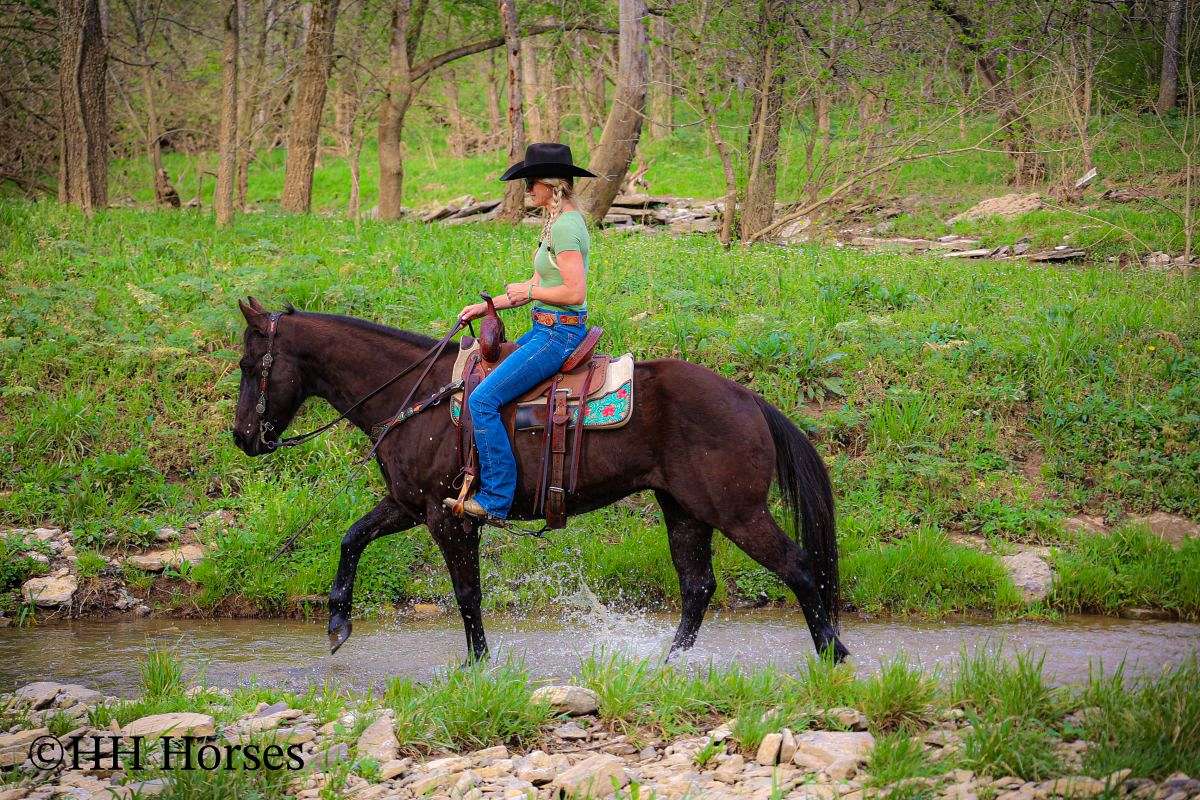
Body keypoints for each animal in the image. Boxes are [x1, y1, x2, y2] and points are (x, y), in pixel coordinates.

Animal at [231, 297, 849, 663]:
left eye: (249, 365)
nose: (242, 437)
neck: (417, 395)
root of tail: (748, 399)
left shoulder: (447, 517)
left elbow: (466, 591)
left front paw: (477, 664)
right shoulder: (409, 505)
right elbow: (352, 537)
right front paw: (337, 621)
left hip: (739, 512)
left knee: (797, 567)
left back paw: (832, 654)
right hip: (684, 510)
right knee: (697, 587)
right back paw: (669, 665)